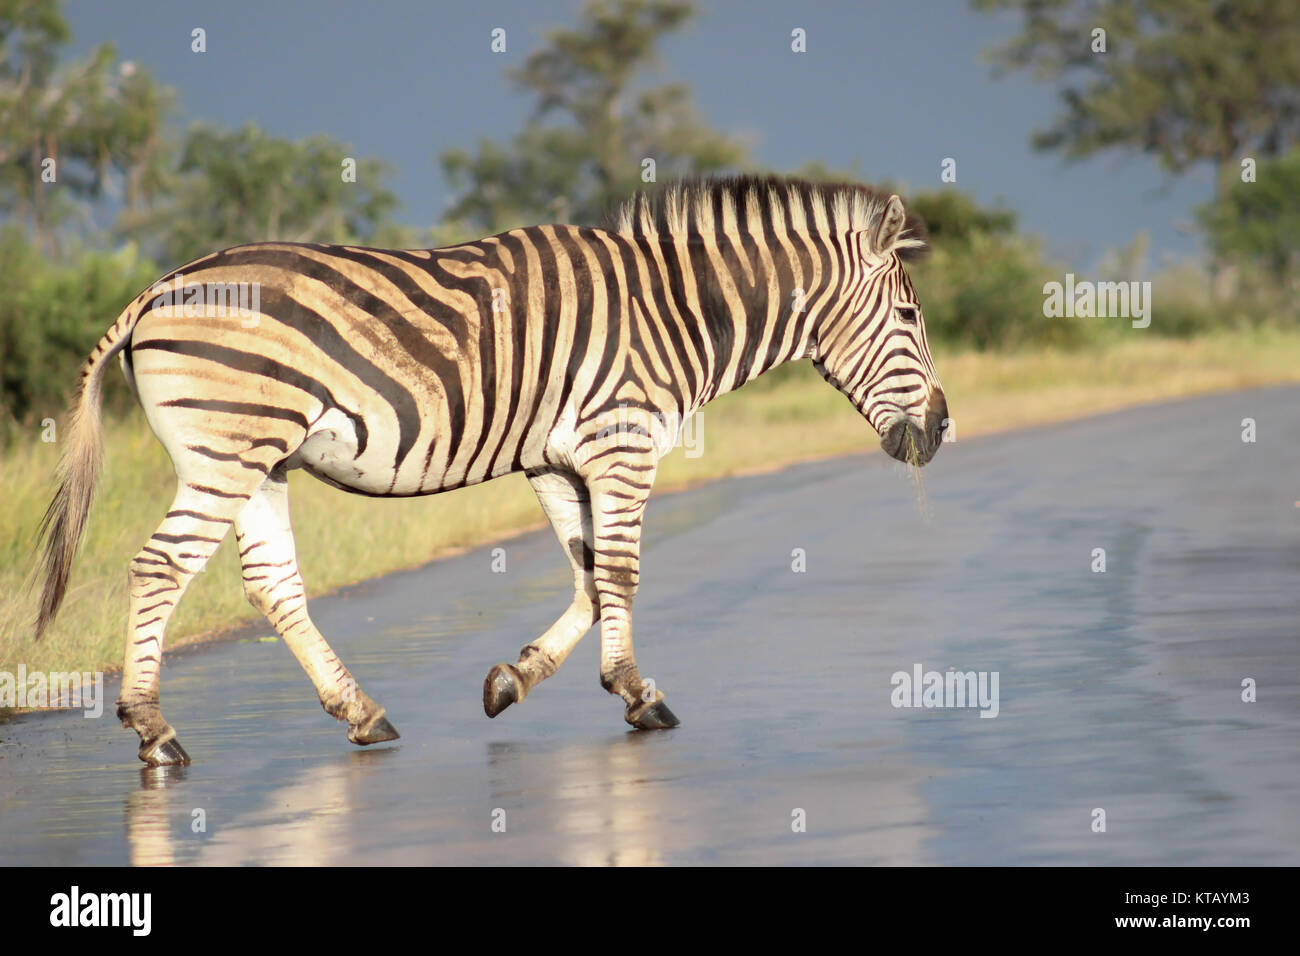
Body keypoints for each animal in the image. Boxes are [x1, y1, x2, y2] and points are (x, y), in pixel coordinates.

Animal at [35, 175, 947, 766]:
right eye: (910, 315)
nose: (942, 427)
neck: (674, 313)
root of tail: (155, 290)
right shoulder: (621, 443)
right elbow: (622, 573)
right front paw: (639, 695)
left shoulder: (557, 460)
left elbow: (590, 577)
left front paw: (514, 680)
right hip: (227, 450)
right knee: (161, 566)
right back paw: (153, 730)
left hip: (263, 461)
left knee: (271, 581)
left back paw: (361, 714)